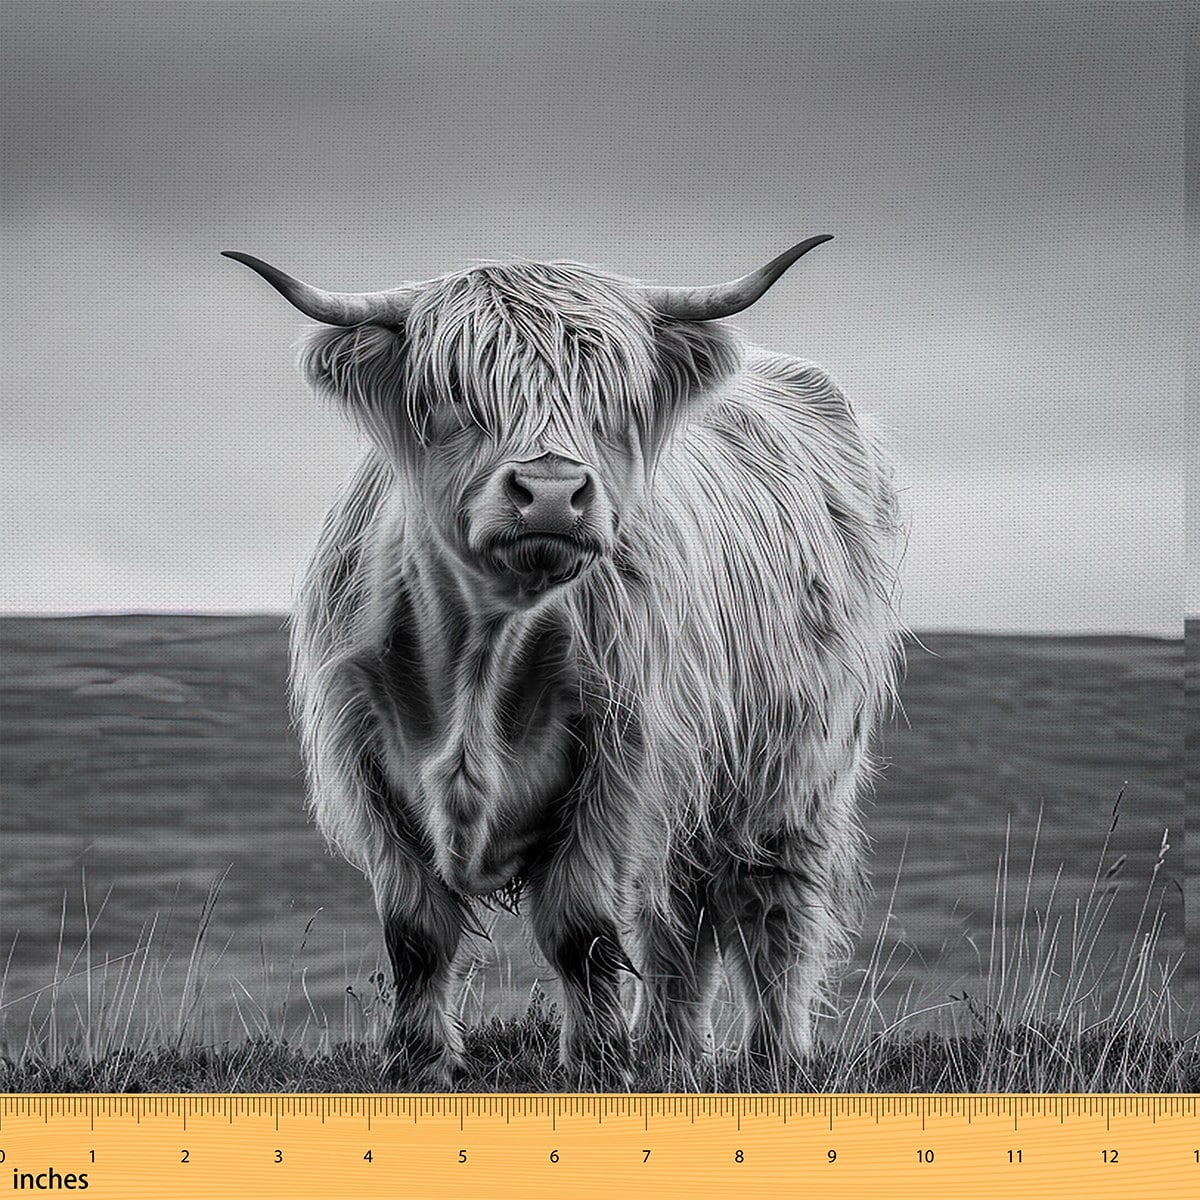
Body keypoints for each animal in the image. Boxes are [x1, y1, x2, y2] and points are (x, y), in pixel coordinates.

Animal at [225, 239, 902, 1087]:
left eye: (611, 398)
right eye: (456, 392)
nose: (551, 491)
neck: (482, 653)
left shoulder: (619, 762)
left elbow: (580, 930)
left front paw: (598, 1067)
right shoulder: (367, 763)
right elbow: (417, 934)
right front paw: (418, 1066)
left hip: (794, 773)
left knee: (769, 907)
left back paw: (771, 1060)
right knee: (680, 918)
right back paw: (668, 1051)